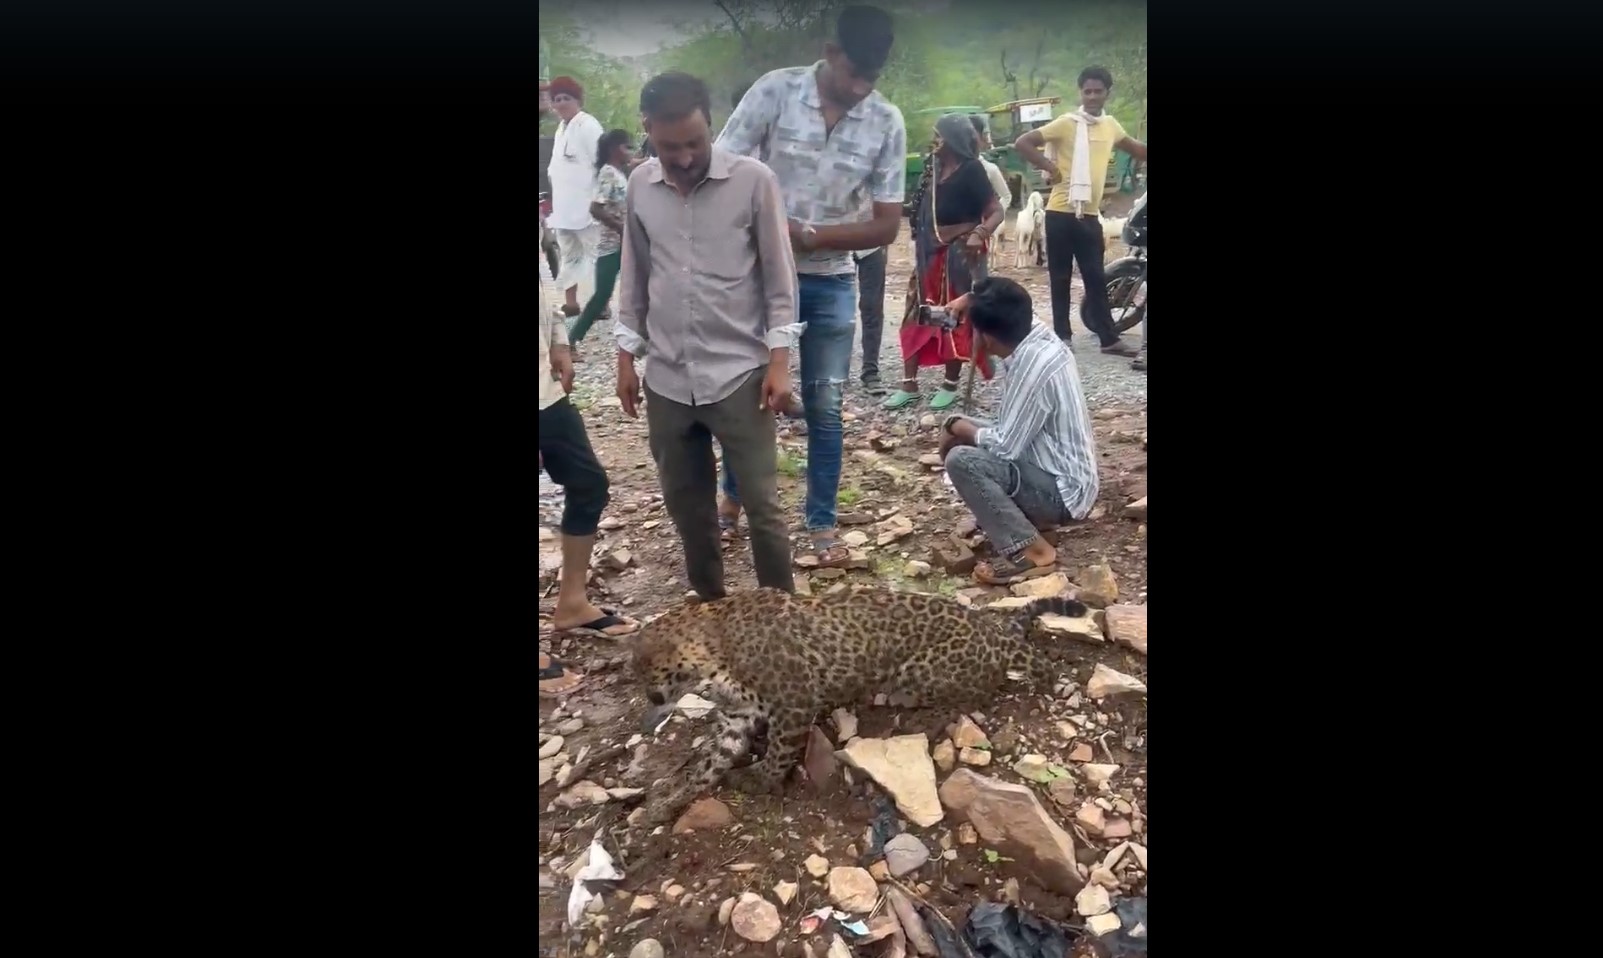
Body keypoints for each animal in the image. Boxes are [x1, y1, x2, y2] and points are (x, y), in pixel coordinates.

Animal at [631, 586, 1089, 824]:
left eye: (646, 673)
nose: (649, 700)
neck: (712, 654)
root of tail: (995, 634)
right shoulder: (736, 715)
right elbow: (710, 761)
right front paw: (665, 805)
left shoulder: (793, 701)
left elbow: (779, 750)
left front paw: (763, 779)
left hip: (928, 667)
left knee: (972, 694)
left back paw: (923, 712)